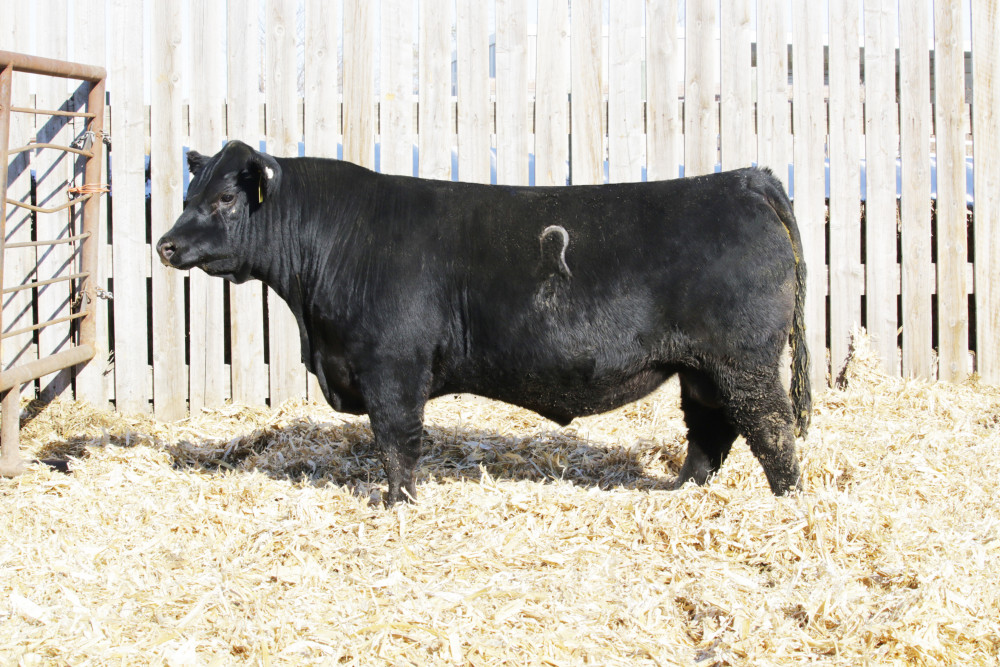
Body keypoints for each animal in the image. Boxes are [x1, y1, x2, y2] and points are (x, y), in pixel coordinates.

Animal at [157, 140, 811, 505]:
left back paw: (787, 506)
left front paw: (396, 506)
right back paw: (680, 494)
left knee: (772, 432)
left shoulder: (392, 368)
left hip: (744, 361)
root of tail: (745, 178)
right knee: (710, 432)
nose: (165, 244)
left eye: (224, 199)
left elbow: (396, 443)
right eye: (189, 194)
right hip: (701, 367)